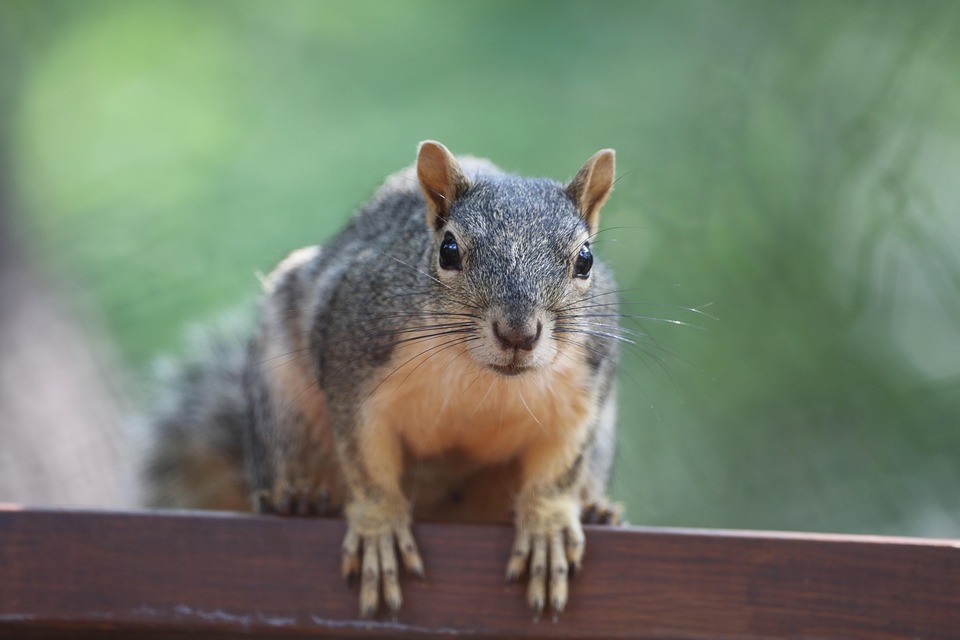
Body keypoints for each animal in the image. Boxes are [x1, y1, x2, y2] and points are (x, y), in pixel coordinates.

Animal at [143, 141, 623, 618]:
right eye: (449, 250)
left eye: (585, 259)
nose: (518, 335)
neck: (483, 374)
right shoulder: (353, 365)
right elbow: (366, 460)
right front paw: (379, 528)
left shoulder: (582, 394)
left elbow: (558, 472)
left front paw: (549, 526)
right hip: (281, 403)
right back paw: (298, 496)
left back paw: (595, 510)